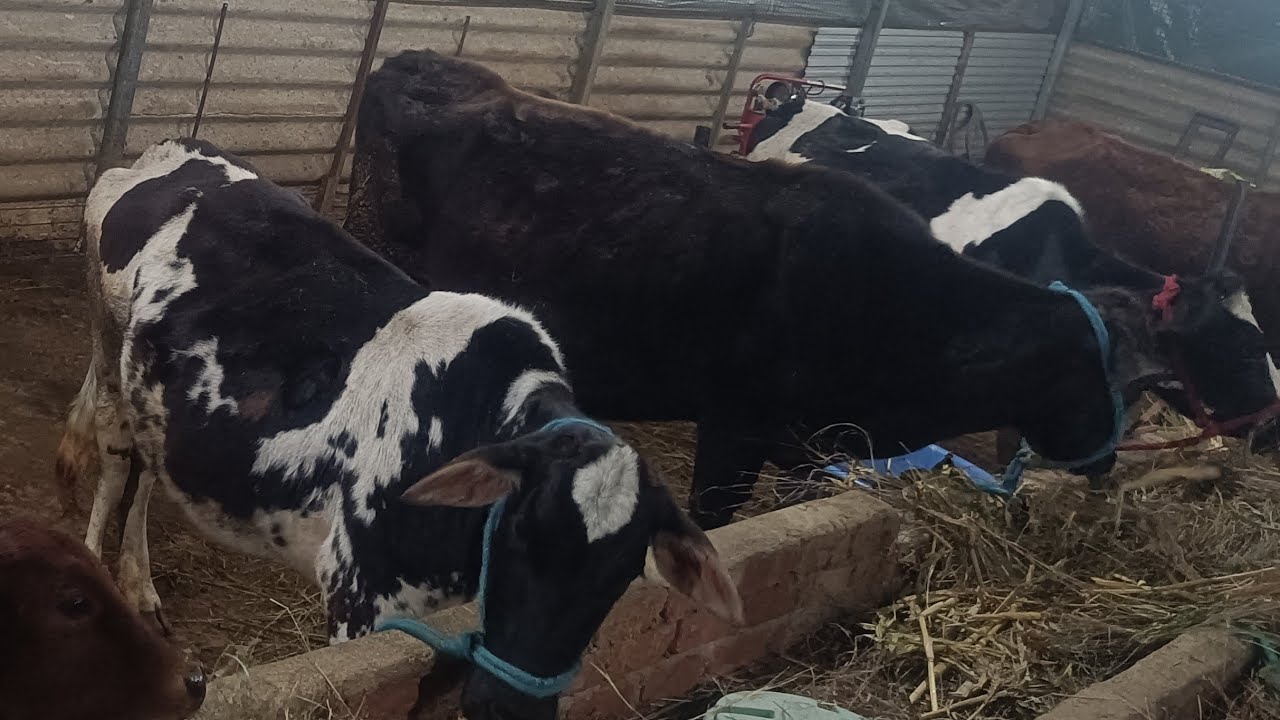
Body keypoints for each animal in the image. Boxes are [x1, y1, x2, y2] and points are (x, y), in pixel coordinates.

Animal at [55, 138, 742, 720]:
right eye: (521, 531)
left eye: (622, 573)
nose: (510, 707)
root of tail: (171, 151)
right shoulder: (359, 595)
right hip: (107, 350)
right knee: (117, 464)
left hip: (152, 395)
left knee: (148, 469)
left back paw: (140, 587)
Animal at [344, 51, 1205, 529]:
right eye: (1101, 376)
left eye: (1148, 382)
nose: (1105, 465)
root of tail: (414, 61)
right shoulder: (736, 423)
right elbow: (719, 517)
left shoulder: (811, 443)